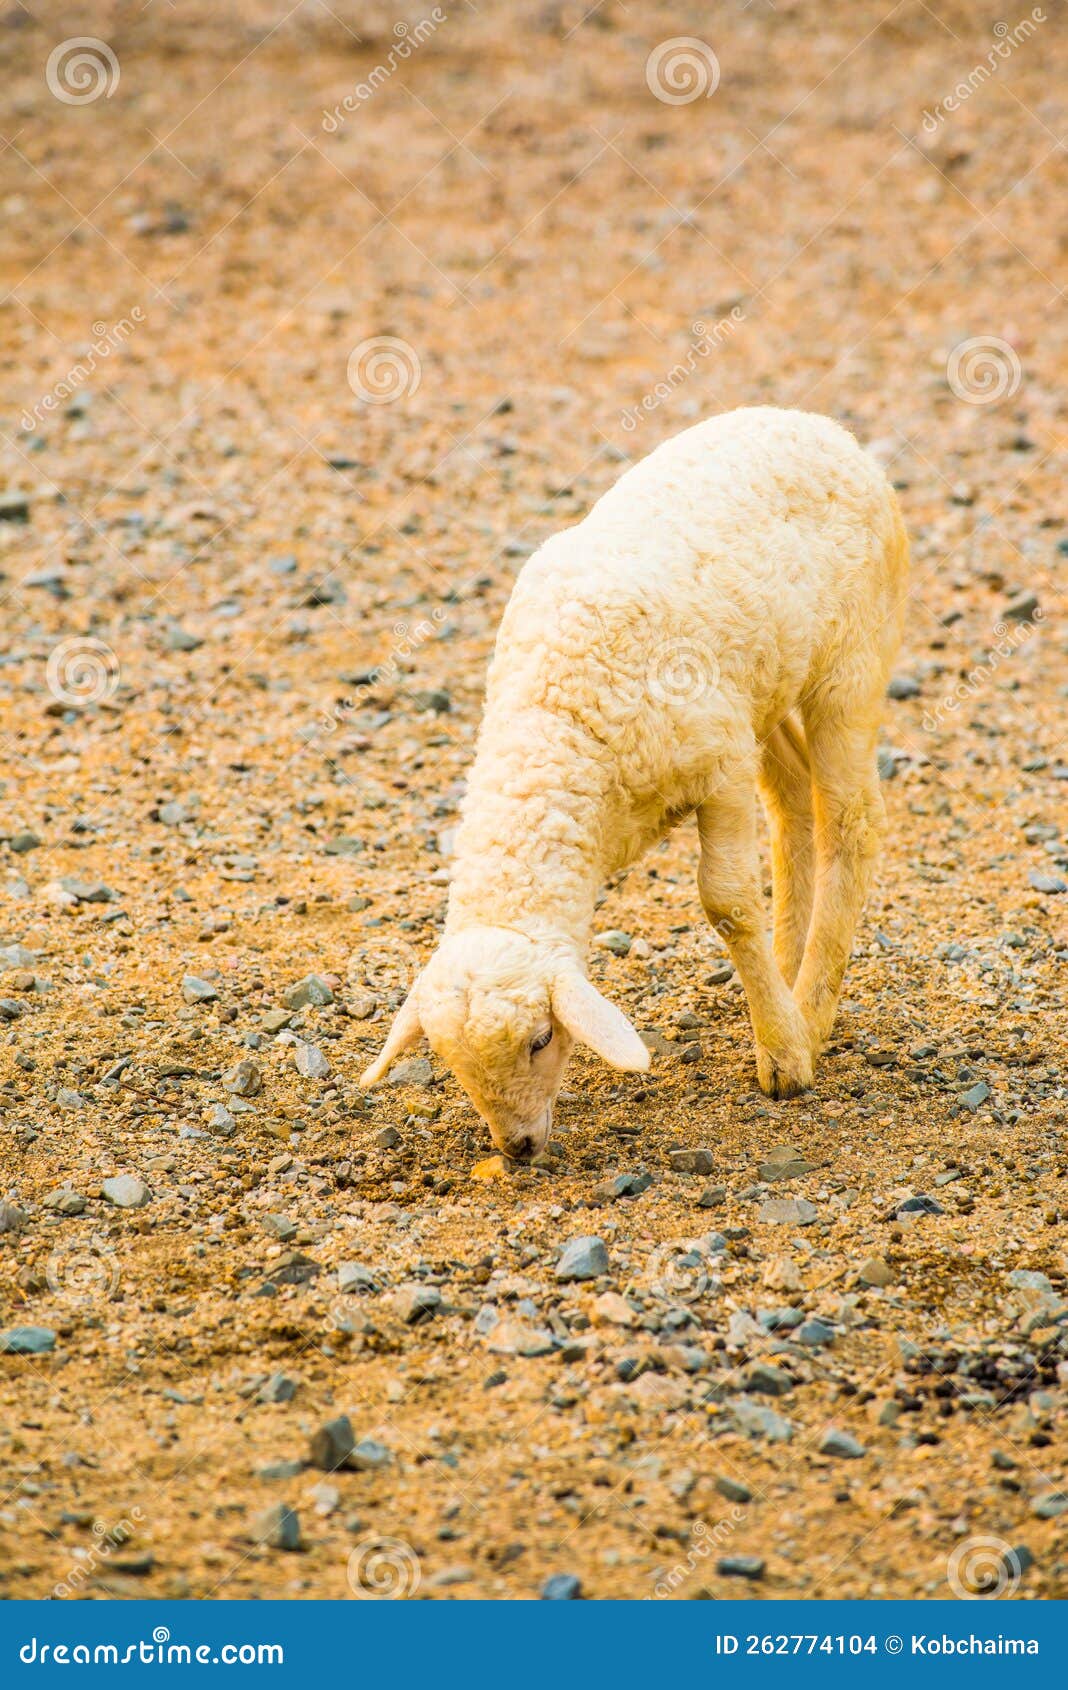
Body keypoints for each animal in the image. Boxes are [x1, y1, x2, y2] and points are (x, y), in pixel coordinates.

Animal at [361, 407, 909, 1159]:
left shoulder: (719, 769)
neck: (556, 723)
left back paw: (808, 1017)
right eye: (449, 1062)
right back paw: (787, 982)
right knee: (794, 800)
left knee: (851, 820)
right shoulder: (727, 745)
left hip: (850, 663)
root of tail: (822, 427)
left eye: (541, 1040)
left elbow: (728, 904)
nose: (517, 1148)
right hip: (761, 692)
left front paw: (785, 1060)